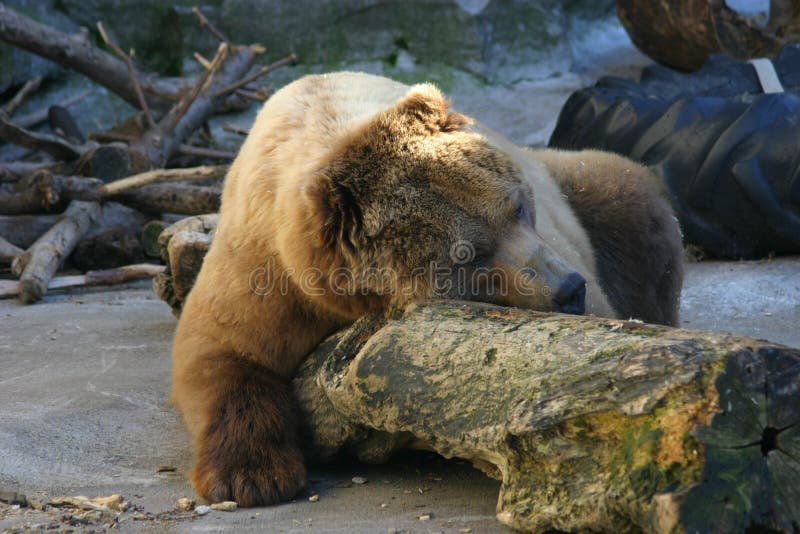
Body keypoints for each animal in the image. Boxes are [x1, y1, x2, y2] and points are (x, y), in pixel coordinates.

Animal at [170, 71, 683, 507]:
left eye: (518, 207)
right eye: (469, 255)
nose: (568, 289)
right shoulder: (264, 266)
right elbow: (221, 351)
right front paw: (254, 475)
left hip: (578, 182)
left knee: (630, 204)